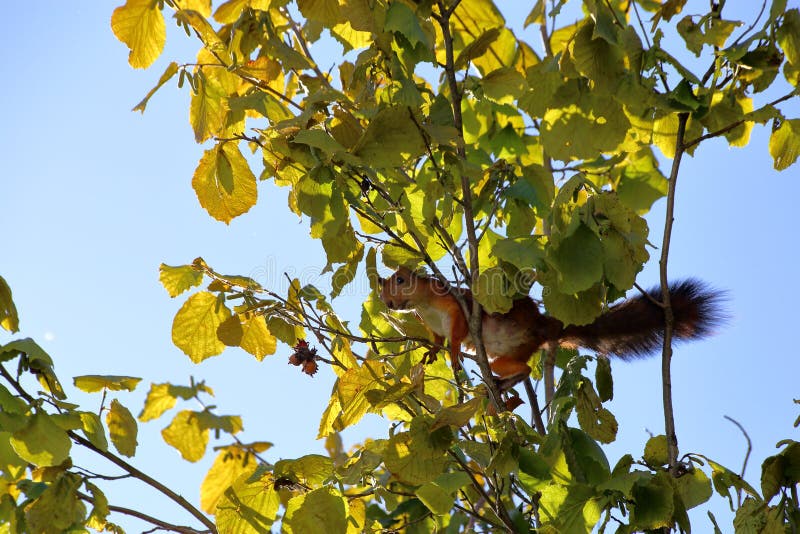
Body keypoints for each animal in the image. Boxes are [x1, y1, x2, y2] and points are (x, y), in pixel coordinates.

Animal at [379, 267, 723, 387]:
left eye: (401, 279)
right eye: (382, 288)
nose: (388, 302)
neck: (425, 307)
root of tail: (543, 329)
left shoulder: (456, 306)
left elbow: (458, 332)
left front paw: (452, 353)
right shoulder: (433, 325)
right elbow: (437, 338)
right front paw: (433, 352)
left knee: (523, 370)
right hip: (510, 355)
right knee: (516, 368)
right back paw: (504, 384)